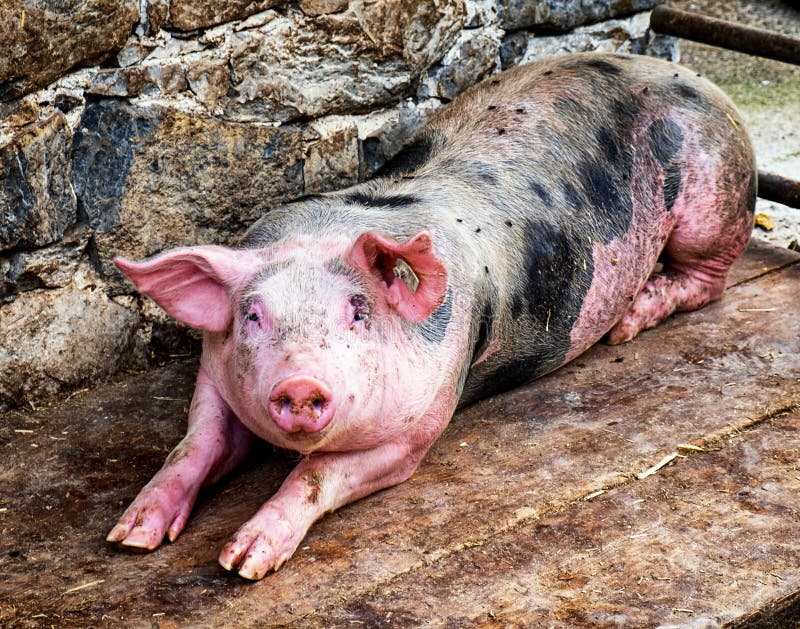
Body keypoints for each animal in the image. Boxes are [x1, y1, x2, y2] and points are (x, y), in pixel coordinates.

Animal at [107, 52, 756, 580]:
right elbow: (194, 445)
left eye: (358, 312)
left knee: (708, 279)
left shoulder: (421, 421)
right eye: (253, 316)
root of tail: (703, 83)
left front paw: (241, 563)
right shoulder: (213, 375)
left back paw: (629, 321)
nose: (299, 383)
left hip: (714, 199)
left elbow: (315, 476)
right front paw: (129, 537)